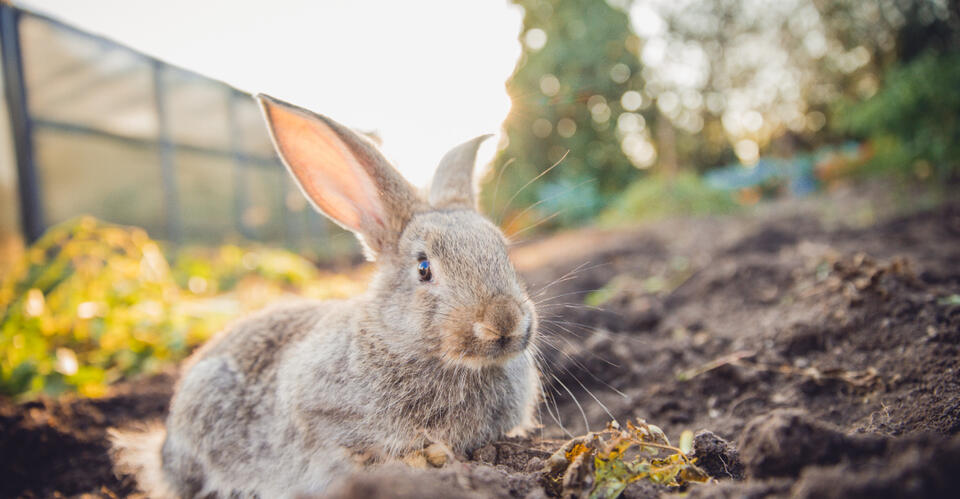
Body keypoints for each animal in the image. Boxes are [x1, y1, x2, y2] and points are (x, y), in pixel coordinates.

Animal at [109, 94, 541, 498]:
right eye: (424, 268)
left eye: (503, 252)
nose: (504, 322)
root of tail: (162, 450)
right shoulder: (320, 417)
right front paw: (428, 461)